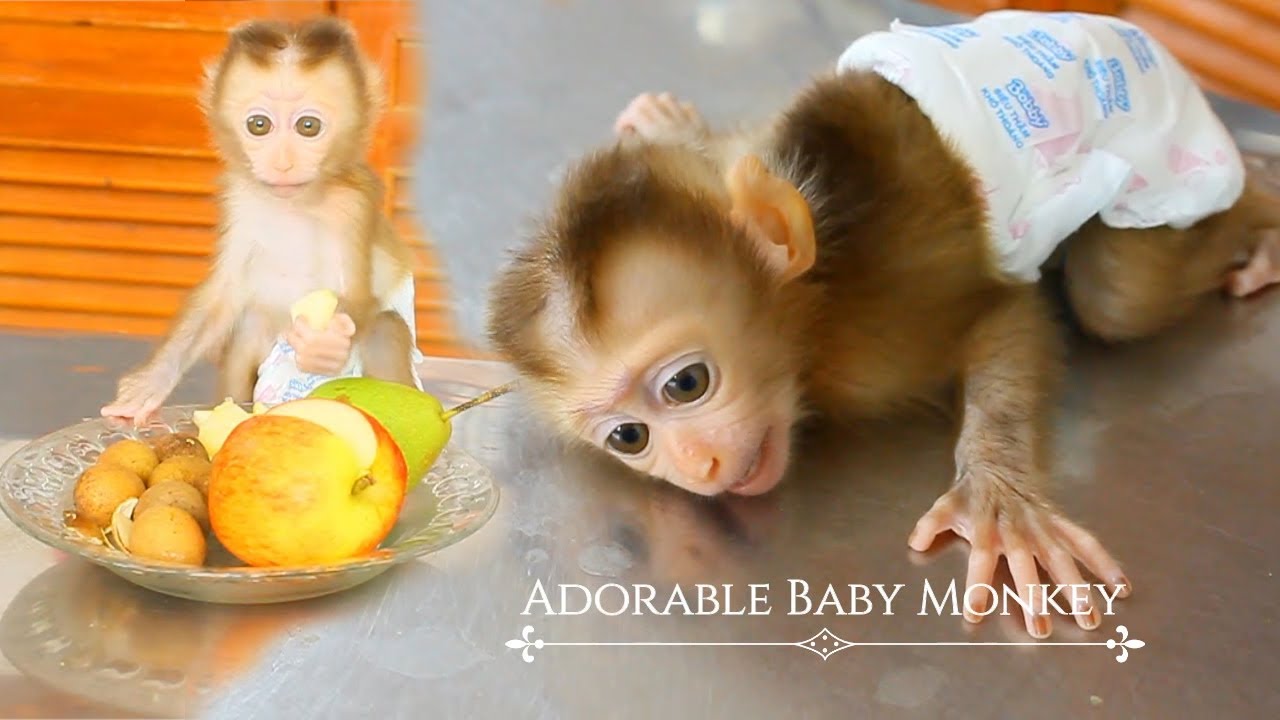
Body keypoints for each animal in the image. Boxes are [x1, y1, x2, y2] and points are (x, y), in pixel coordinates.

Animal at [101, 17, 423, 423]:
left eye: (308, 127)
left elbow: (358, 298)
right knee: (249, 327)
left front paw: (325, 346)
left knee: (384, 328)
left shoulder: (352, 204)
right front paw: (151, 383)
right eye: (259, 125)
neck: (295, 204)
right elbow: (224, 294)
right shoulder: (240, 199)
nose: (282, 163)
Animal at [485, 11, 1280, 639]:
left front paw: (998, 495)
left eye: (687, 384)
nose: (699, 466)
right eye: (629, 438)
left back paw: (1261, 203)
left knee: (1119, 292)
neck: (815, 315)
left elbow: (1005, 312)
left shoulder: (885, 321)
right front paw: (676, 128)